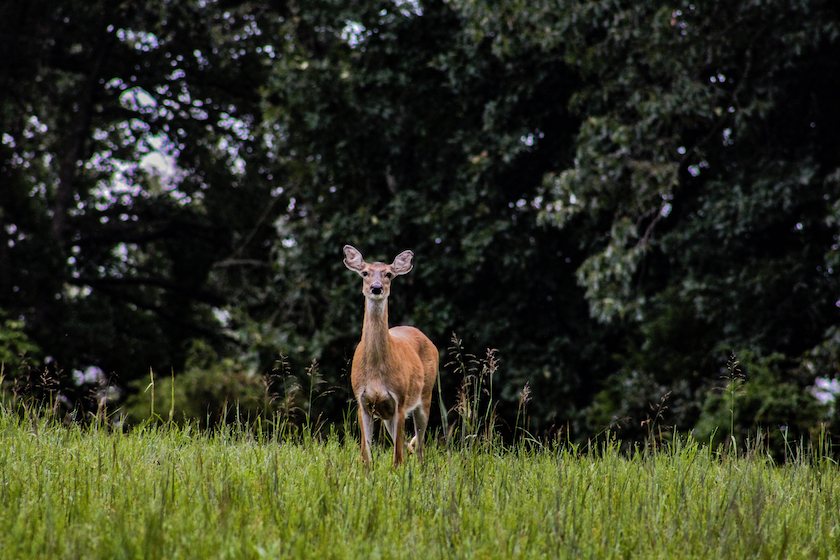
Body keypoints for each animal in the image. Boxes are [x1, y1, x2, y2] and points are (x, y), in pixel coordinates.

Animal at [343, 245, 439, 467]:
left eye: (388, 274)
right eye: (365, 272)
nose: (376, 288)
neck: (376, 372)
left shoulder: (400, 401)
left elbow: (397, 459)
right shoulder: (362, 401)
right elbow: (366, 456)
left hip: (425, 396)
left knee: (420, 446)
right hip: (387, 415)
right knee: (407, 444)